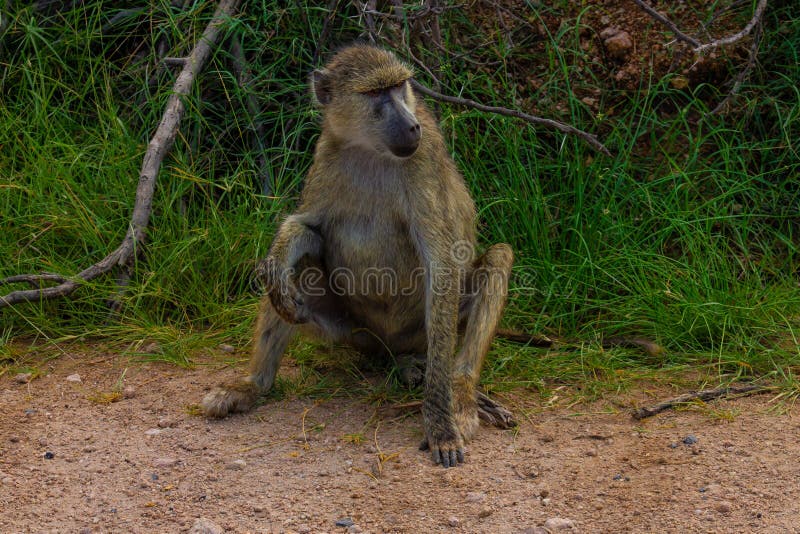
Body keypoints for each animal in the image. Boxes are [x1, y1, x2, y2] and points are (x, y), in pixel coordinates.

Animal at [201, 44, 514, 468]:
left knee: (498, 259)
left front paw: (440, 425)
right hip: (350, 330)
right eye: (375, 93)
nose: (411, 126)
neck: (369, 150)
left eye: (399, 87)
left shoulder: (423, 161)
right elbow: (308, 231)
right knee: (296, 274)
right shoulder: (326, 155)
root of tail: (390, 347)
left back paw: (462, 394)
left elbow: (443, 266)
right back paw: (251, 386)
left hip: (421, 333)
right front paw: (278, 268)